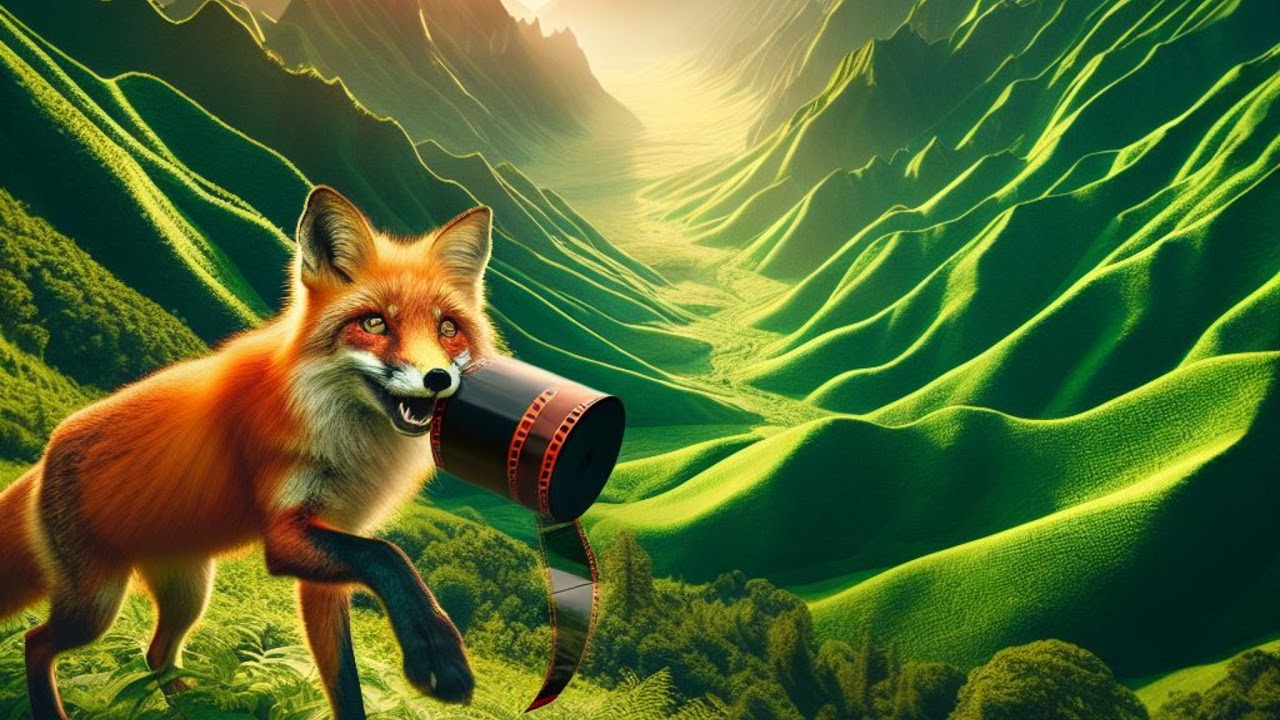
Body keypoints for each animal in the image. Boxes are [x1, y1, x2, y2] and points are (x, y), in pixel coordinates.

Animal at [0, 186, 499, 719]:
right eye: (374, 323)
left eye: (448, 329)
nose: (438, 378)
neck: (345, 441)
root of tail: (46, 454)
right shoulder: (286, 534)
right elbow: (390, 556)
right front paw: (437, 652)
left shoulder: (330, 553)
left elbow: (344, 682)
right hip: (96, 605)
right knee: (36, 641)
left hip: (189, 593)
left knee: (158, 655)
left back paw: (198, 703)